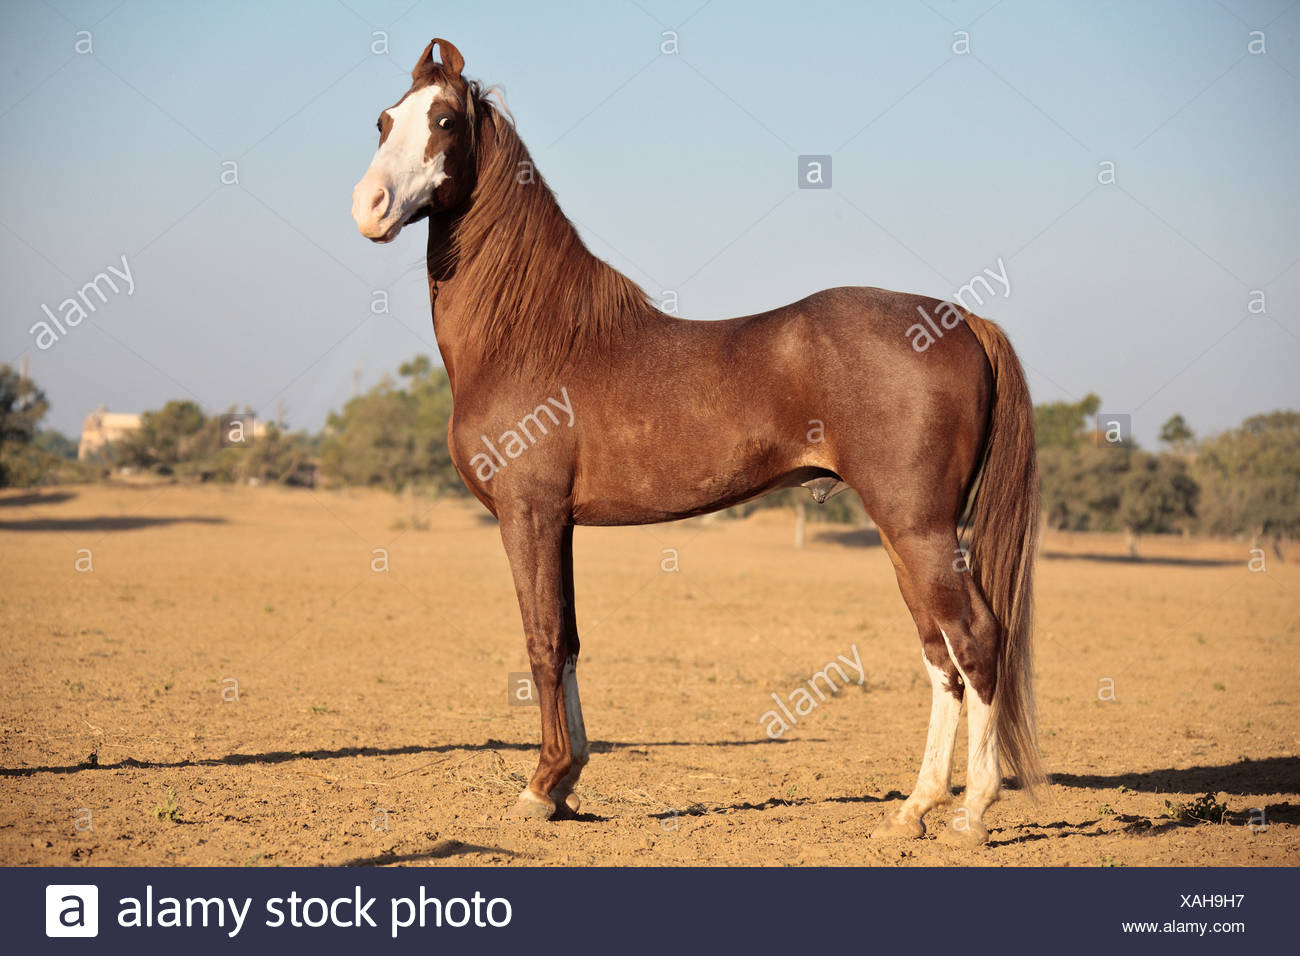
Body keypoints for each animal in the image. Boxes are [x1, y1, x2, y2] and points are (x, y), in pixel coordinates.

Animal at [351, 38, 1043, 846]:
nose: (368, 208)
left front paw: (540, 788)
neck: (534, 338)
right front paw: (568, 781)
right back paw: (913, 810)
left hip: (921, 529)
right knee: (941, 656)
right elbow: (571, 639)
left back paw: (972, 812)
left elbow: (542, 641)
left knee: (977, 640)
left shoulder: (529, 514)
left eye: (444, 120)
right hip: (909, 536)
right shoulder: (560, 524)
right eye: (383, 120)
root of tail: (961, 321)